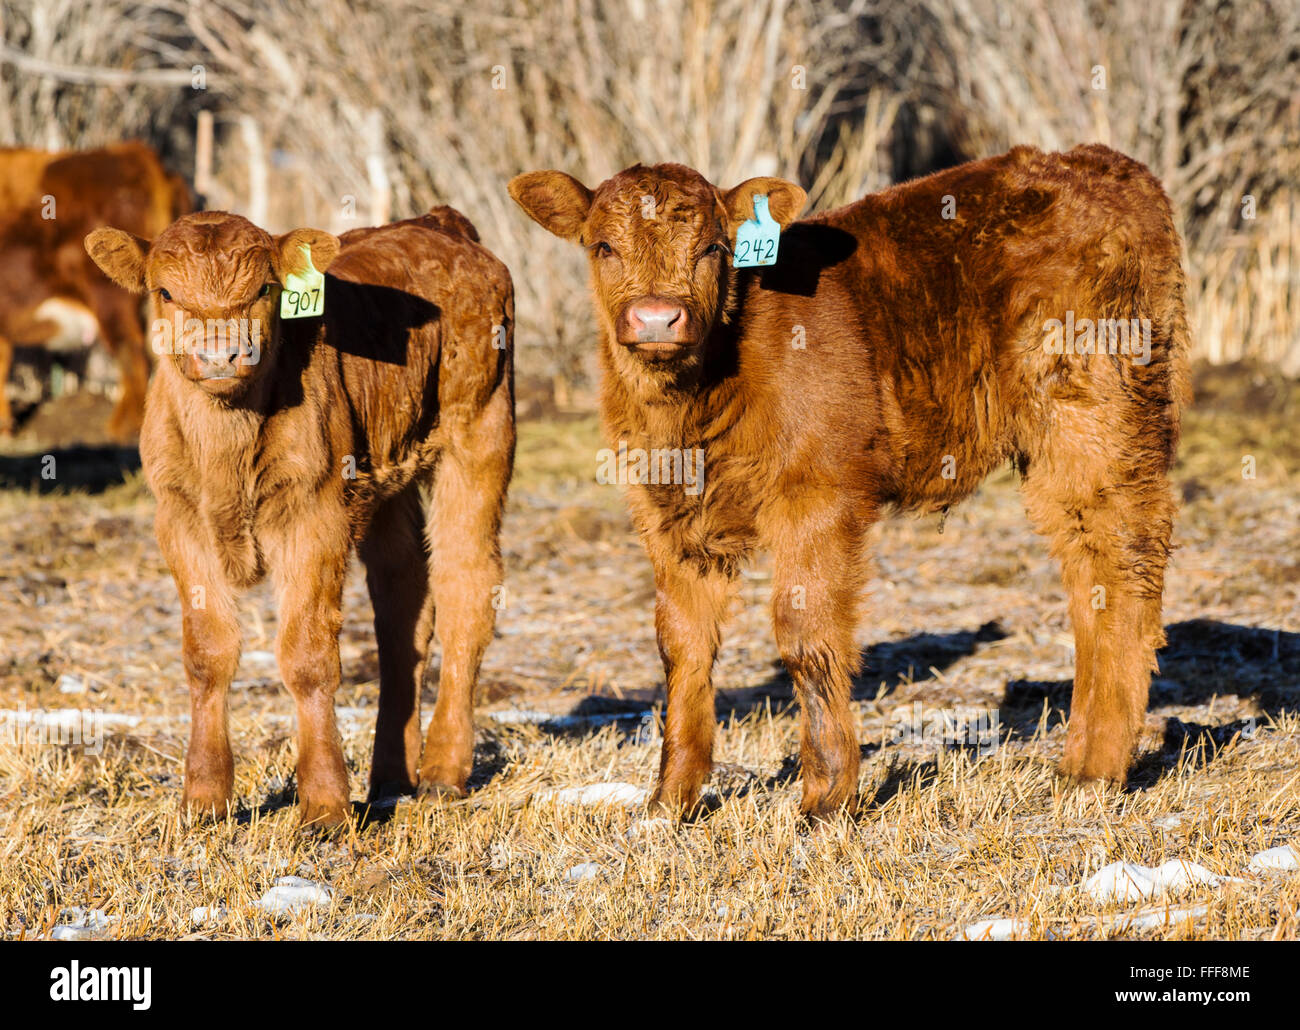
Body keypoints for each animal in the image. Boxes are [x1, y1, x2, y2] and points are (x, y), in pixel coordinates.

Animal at [84, 207, 515, 828]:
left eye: (265, 288)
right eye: (165, 292)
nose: (221, 354)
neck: (227, 446)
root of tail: (440, 225)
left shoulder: (315, 518)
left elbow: (307, 658)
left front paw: (325, 805)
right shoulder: (179, 521)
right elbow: (207, 654)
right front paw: (204, 800)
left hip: (480, 431)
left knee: (466, 584)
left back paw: (441, 772)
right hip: (387, 474)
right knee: (404, 602)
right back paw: (391, 776)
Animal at [510, 144, 1191, 821]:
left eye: (713, 248)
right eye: (603, 247)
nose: (656, 319)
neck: (693, 409)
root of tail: (1101, 163)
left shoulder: (817, 495)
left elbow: (805, 634)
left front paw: (826, 796)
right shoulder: (666, 514)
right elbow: (682, 647)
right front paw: (669, 801)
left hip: (1096, 418)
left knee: (1125, 565)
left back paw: (1098, 772)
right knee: (1087, 574)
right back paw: (1076, 765)